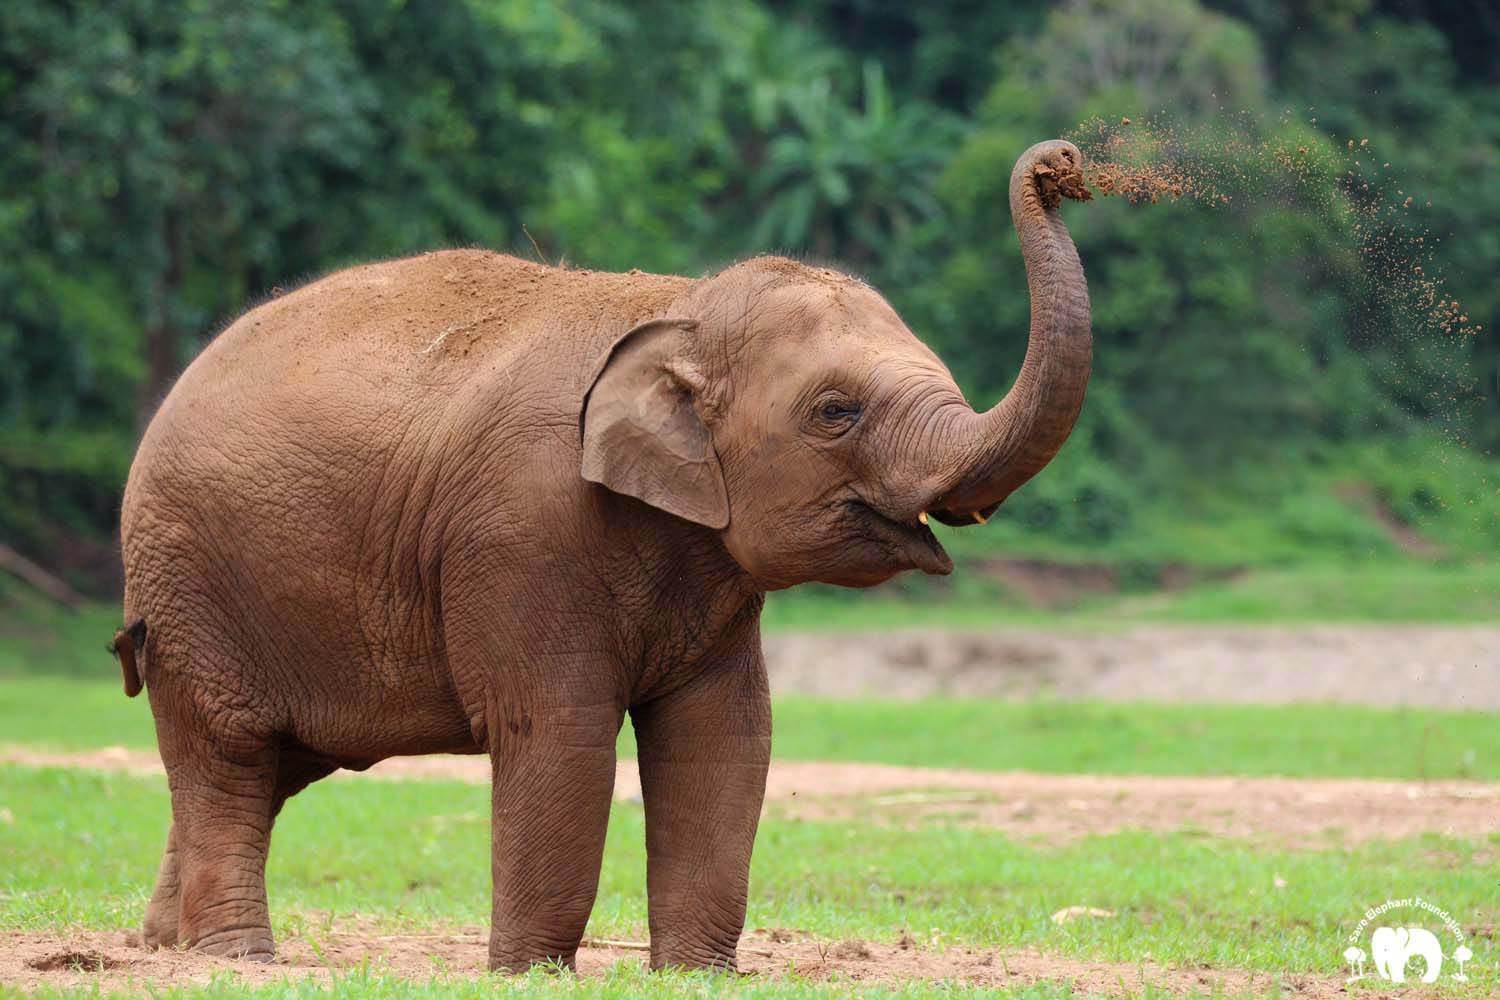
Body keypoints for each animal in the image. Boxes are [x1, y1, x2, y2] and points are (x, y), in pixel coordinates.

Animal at [113, 139, 1093, 972]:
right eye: (835, 412)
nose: (1063, 165)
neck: (677, 310)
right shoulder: (521, 532)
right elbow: (560, 729)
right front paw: (526, 973)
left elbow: (725, 734)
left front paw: (696, 974)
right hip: (189, 586)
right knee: (227, 756)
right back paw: (235, 958)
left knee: (269, 769)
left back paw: (164, 944)